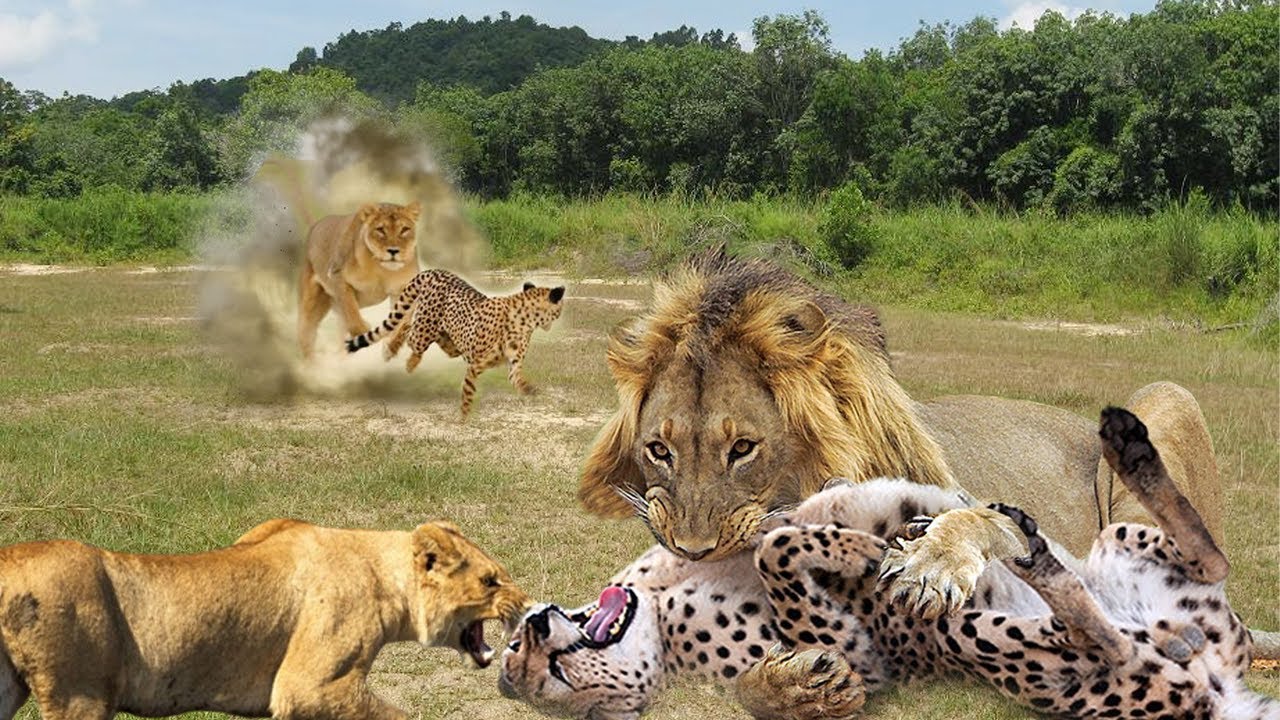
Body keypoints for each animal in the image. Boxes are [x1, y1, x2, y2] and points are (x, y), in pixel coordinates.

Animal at [298, 201, 423, 358]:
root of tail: (316, 225)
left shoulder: (403, 288)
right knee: (306, 333)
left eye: (404, 229)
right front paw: (365, 333)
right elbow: (352, 314)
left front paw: (391, 347)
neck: (381, 269)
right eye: (380, 230)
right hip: (311, 303)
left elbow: (400, 322)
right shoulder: (337, 276)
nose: (393, 250)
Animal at [346, 269, 565, 417]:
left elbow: (517, 379)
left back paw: (400, 355)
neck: (525, 319)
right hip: (426, 328)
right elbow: (468, 392)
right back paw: (397, 354)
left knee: (412, 327)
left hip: (447, 339)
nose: (559, 315)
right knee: (411, 333)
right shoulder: (475, 365)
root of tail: (435, 271)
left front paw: (530, 390)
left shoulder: (513, 364)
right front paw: (464, 418)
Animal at [499, 407, 1276, 720]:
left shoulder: (924, 492)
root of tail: (1223, 675)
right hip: (996, 643)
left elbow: (958, 516)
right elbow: (788, 557)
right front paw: (861, 557)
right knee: (1103, 636)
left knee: (1208, 555)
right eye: (547, 681)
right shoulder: (868, 648)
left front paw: (939, 550)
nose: (530, 636)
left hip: (1121, 535)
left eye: (514, 652)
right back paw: (1048, 570)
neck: (663, 595)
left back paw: (1124, 452)